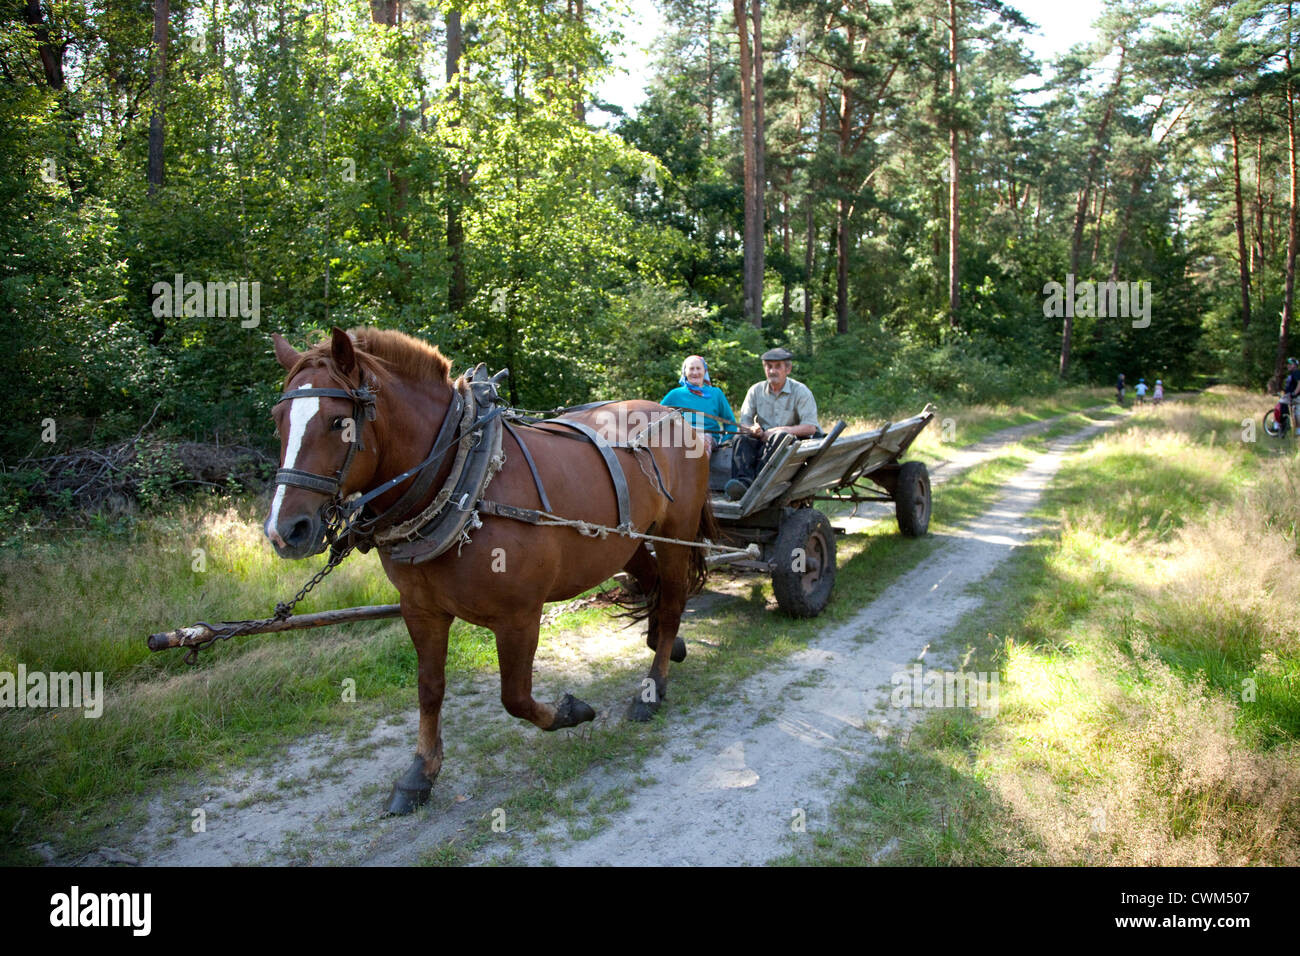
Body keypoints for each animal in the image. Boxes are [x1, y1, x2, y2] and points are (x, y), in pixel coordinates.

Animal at [264, 327, 718, 814]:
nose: (284, 530)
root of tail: (678, 417)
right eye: (278, 419)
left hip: (675, 535)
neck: (462, 478)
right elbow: (429, 688)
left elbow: (515, 696)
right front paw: (420, 774)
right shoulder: (420, 610)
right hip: (625, 539)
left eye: (337, 423)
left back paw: (653, 688)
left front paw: (571, 712)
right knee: (652, 586)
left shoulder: (519, 615)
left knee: (672, 601)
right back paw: (666, 645)